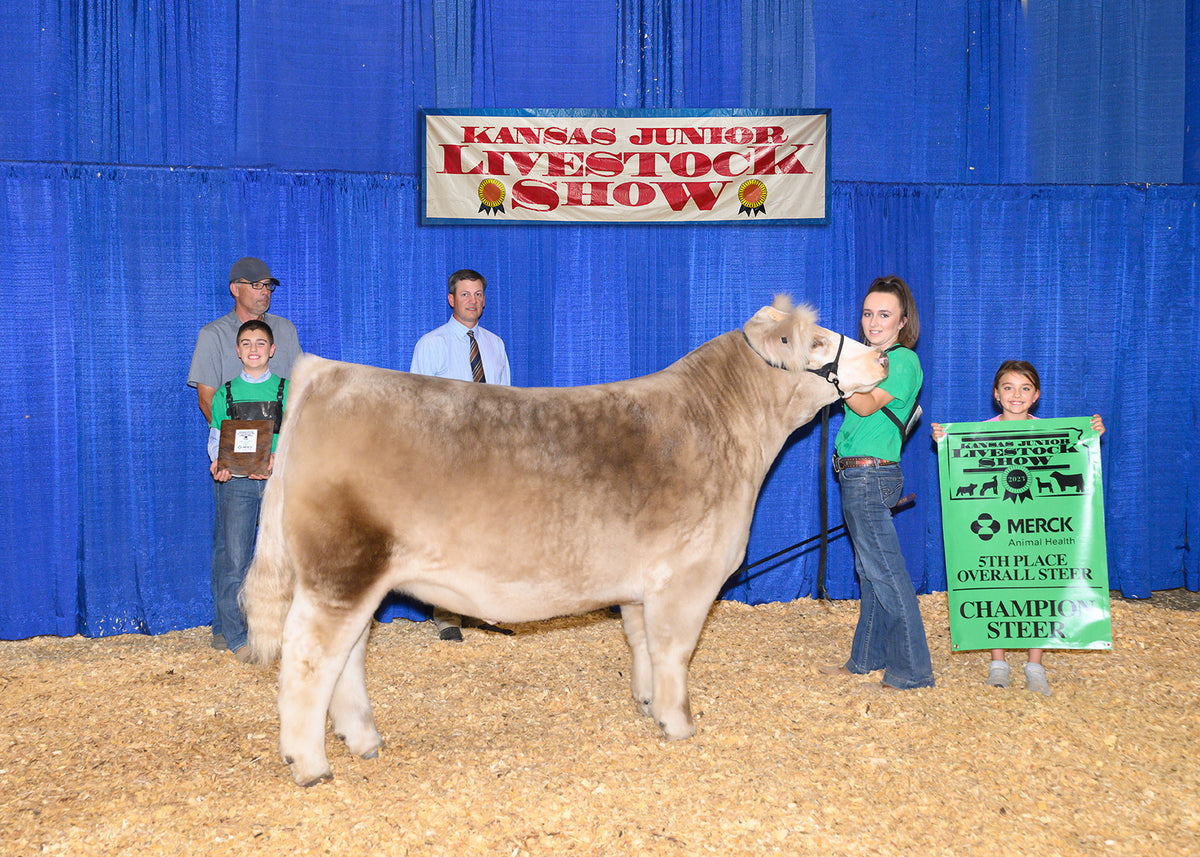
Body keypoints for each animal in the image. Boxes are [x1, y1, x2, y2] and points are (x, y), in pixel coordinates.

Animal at [241, 297, 889, 786]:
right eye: (816, 342)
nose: (882, 356)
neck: (723, 427)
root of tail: (326, 373)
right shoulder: (686, 576)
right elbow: (675, 651)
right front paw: (680, 724)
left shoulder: (641, 585)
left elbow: (642, 645)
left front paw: (648, 706)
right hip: (342, 568)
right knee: (309, 656)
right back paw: (310, 763)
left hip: (362, 574)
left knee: (347, 657)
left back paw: (363, 739)